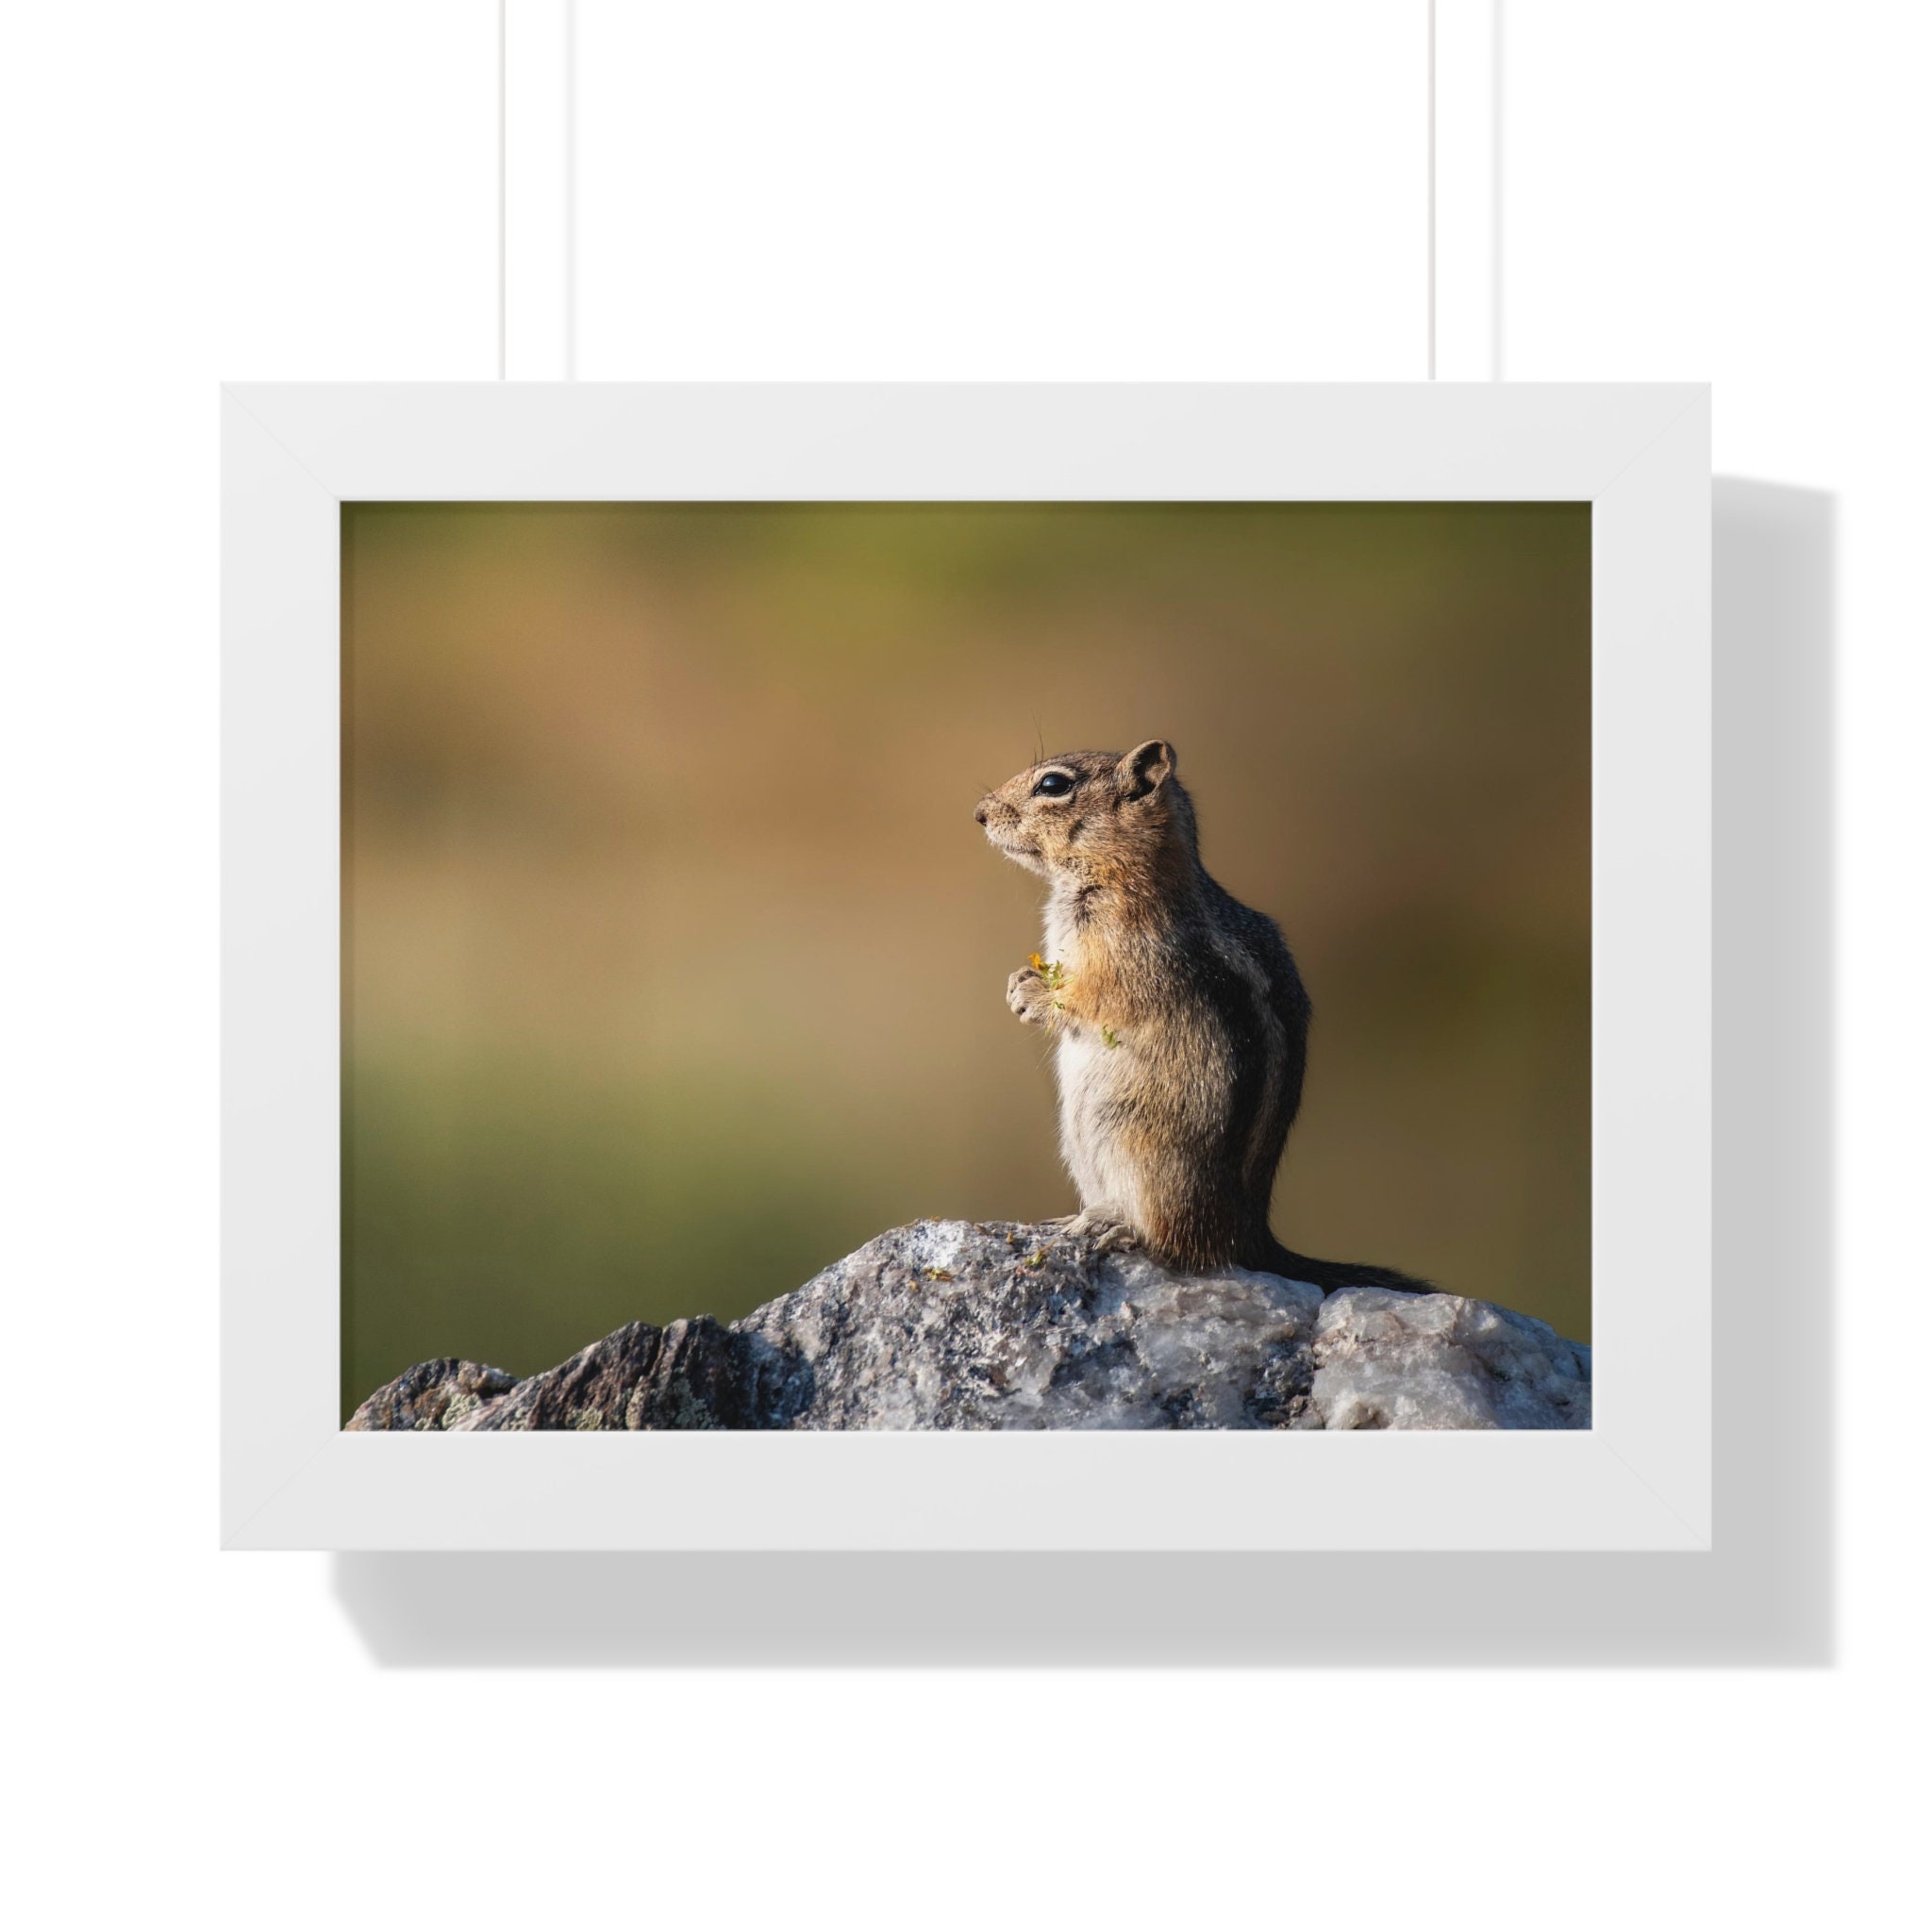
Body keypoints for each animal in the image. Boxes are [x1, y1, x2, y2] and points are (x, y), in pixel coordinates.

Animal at [974, 739, 1431, 1293]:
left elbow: (1090, 1000)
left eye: (1053, 785)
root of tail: (1247, 1232)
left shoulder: (1128, 960)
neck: (1124, 871)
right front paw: (1018, 980)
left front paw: (1032, 996)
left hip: (1142, 1150)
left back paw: (1118, 1230)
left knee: (1180, 1244)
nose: (979, 814)